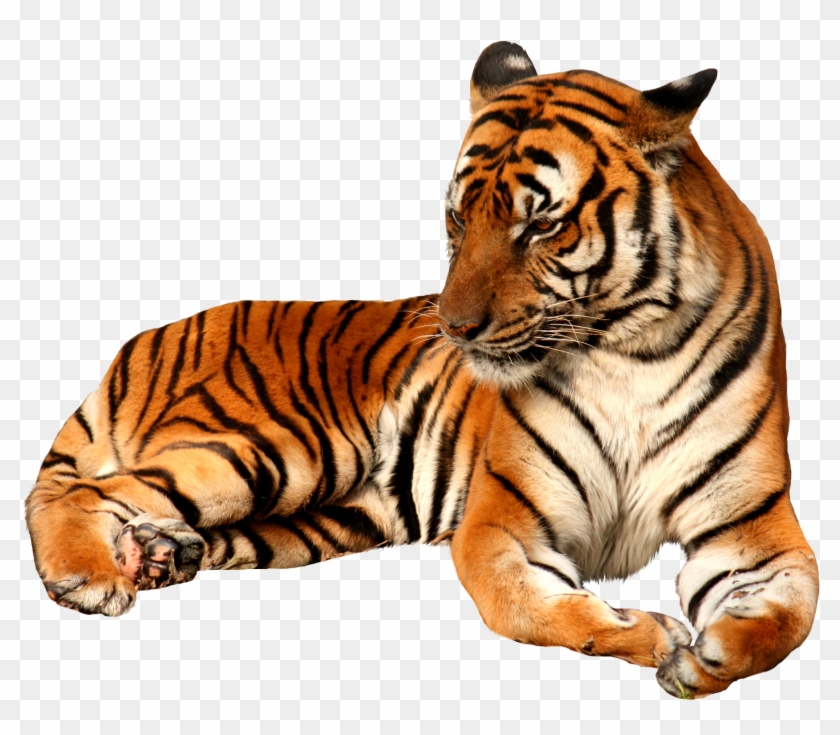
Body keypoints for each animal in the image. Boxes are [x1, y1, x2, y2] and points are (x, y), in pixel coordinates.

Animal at [25, 41, 818, 699]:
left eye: (541, 224)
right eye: (459, 219)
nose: (454, 328)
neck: (627, 352)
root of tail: (144, 338)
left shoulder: (751, 523)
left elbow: (794, 615)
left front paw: (708, 657)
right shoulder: (503, 520)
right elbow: (527, 607)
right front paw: (651, 634)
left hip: (323, 517)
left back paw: (160, 553)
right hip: (277, 447)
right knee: (82, 491)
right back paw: (88, 577)